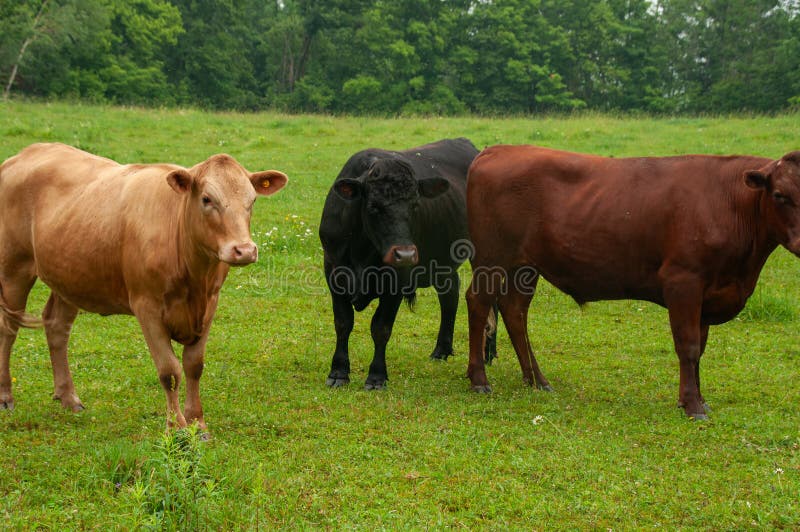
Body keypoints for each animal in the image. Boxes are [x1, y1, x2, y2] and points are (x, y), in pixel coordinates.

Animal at [0, 143, 287, 431]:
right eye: (207, 199)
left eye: (252, 201)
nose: (244, 250)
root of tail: (28, 152)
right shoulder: (146, 305)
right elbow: (169, 371)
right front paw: (177, 427)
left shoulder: (210, 303)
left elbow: (194, 365)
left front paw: (198, 423)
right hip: (13, 270)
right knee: (8, 329)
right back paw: (5, 397)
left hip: (68, 275)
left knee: (57, 326)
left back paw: (69, 397)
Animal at [319, 137, 496, 390]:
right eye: (373, 207)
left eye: (415, 206)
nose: (405, 254)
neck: (361, 249)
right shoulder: (334, 271)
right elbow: (343, 323)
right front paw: (338, 372)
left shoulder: (396, 281)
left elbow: (381, 327)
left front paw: (376, 376)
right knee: (449, 295)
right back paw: (441, 350)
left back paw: (489, 353)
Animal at [464, 144, 800, 419]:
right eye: (779, 195)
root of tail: (497, 149)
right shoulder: (683, 281)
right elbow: (688, 346)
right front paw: (692, 405)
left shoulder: (707, 294)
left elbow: (700, 348)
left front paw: (698, 399)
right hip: (491, 259)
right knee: (478, 302)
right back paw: (479, 379)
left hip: (525, 267)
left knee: (515, 311)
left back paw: (536, 379)